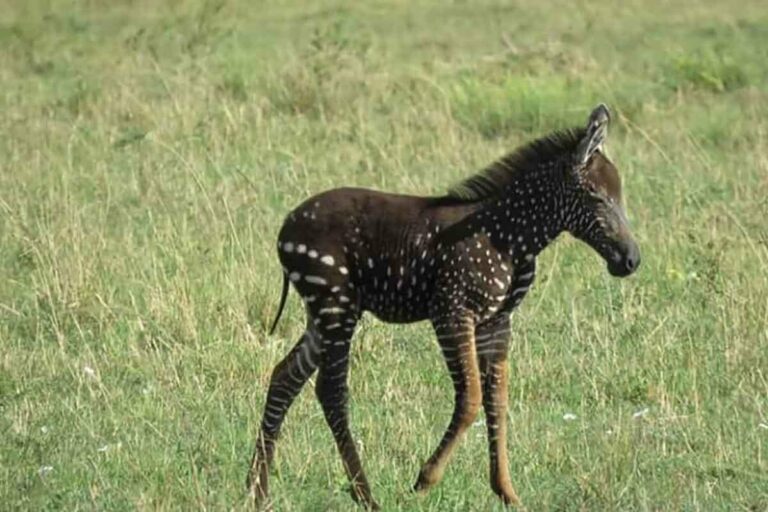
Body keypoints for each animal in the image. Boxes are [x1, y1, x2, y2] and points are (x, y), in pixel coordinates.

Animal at [247, 104, 640, 509]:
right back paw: (365, 495)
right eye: (596, 196)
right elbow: (471, 399)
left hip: (324, 313)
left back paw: (257, 489)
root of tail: (285, 228)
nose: (631, 260)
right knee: (330, 391)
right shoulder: (452, 312)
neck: (512, 238)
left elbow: (497, 401)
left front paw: (506, 491)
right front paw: (426, 478)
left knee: (284, 376)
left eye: (618, 195)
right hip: (336, 304)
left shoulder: (497, 321)